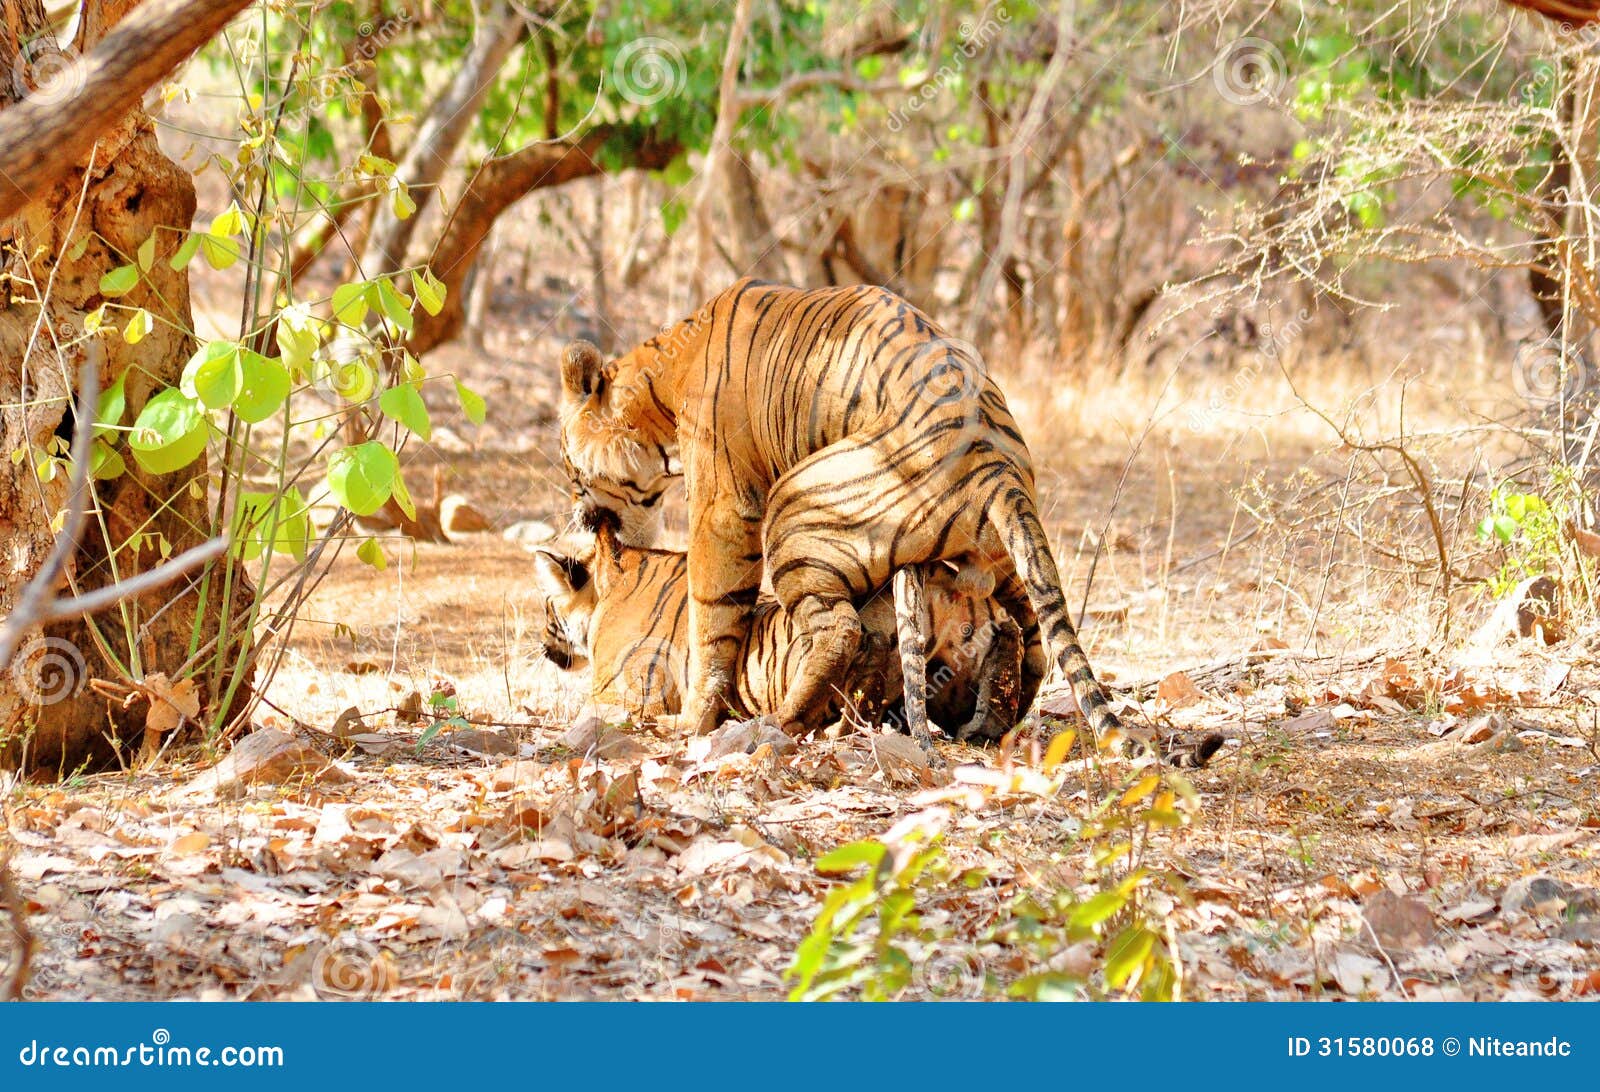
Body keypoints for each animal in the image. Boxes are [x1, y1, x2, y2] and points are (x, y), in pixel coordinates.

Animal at [531, 510, 1024, 744]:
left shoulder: (615, 693)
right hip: (964, 663)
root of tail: (940, 574)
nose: (542, 646)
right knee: (1009, 642)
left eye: (545, 607)